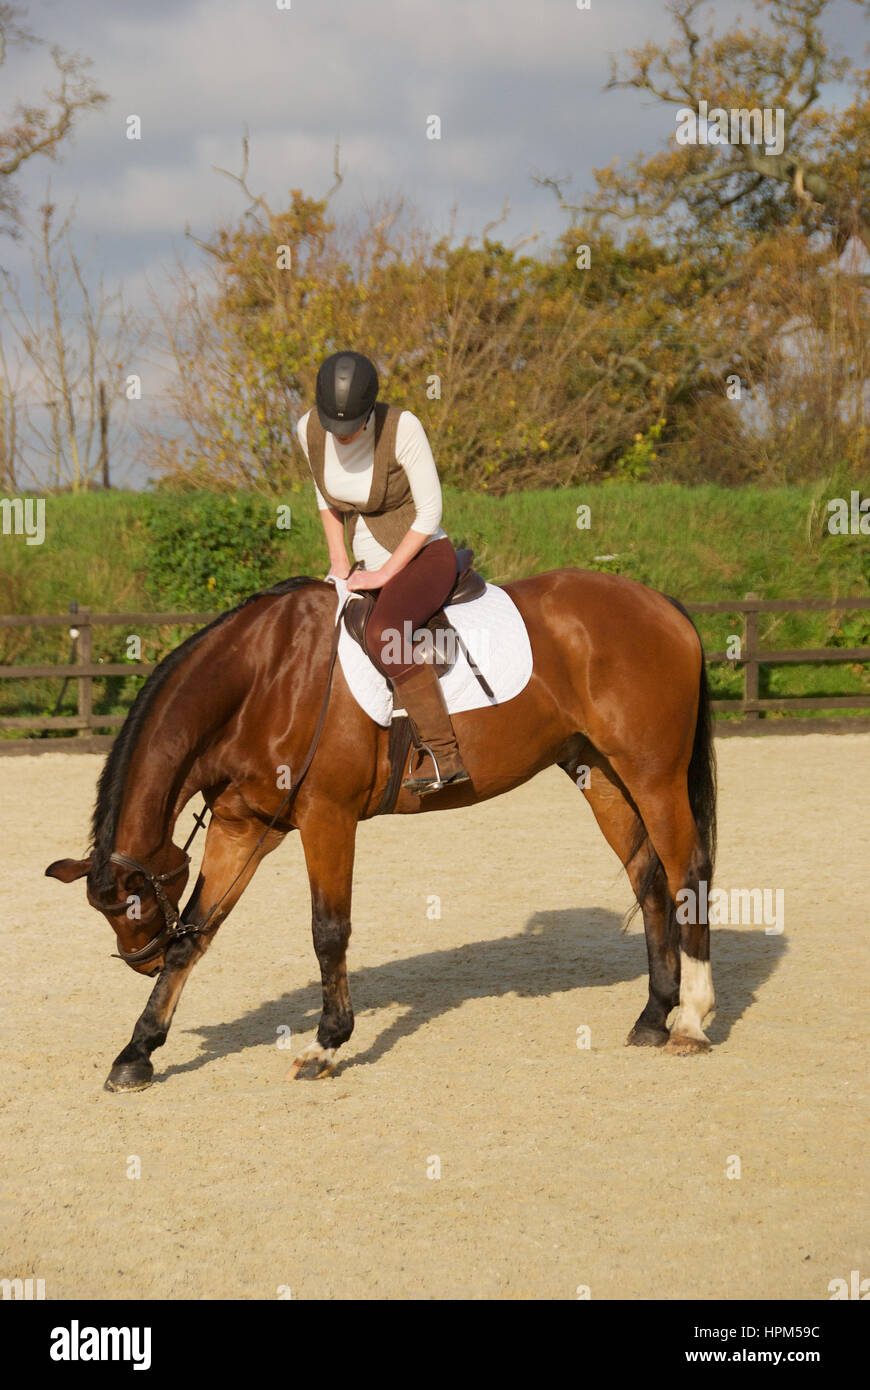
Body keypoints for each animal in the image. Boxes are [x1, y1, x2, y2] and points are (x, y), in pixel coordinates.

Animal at [45, 567, 717, 1092]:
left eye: (132, 904)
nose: (143, 964)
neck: (261, 680)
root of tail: (660, 604)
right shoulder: (242, 826)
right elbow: (196, 933)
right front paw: (138, 1052)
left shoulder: (327, 817)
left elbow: (328, 932)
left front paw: (326, 1044)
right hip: (599, 773)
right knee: (650, 882)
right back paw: (653, 1016)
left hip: (653, 776)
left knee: (687, 875)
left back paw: (690, 1020)